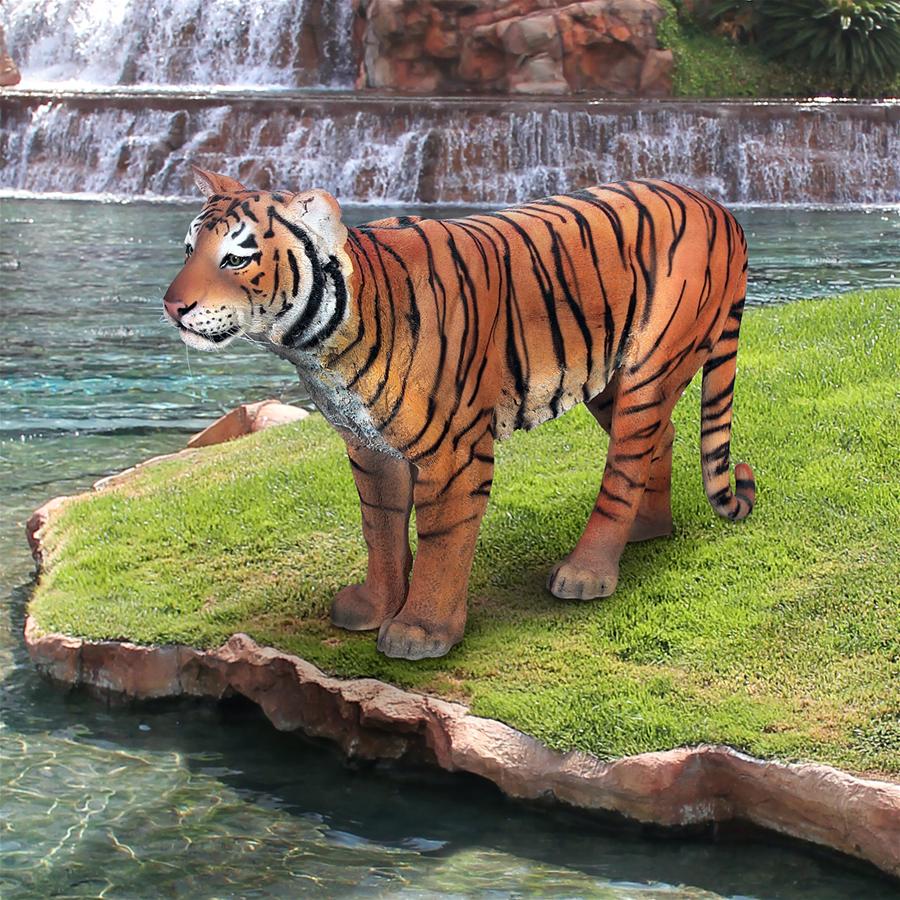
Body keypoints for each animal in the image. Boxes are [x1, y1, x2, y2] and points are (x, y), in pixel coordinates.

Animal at [164, 167, 756, 661]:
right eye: (189, 249)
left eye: (236, 258)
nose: (172, 307)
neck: (315, 345)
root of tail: (717, 207)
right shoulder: (370, 449)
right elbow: (379, 529)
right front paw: (375, 607)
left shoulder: (453, 454)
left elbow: (442, 543)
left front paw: (420, 632)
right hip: (608, 376)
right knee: (662, 434)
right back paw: (646, 531)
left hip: (649, 366)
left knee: (626, 463)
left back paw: (587, 572)